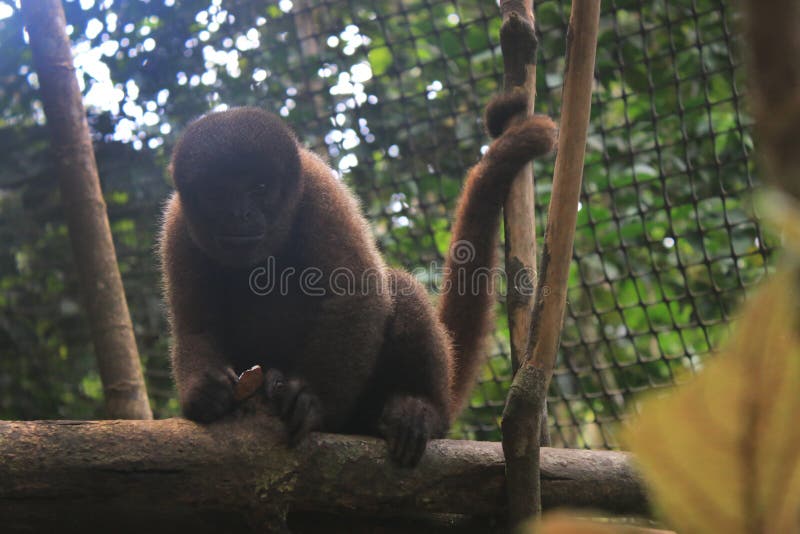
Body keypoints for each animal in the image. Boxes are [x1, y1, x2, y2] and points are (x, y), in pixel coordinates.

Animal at [159, 91, 556, 467]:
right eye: (216, 193)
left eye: (259, 188)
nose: (239, 214)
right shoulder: (177, 224)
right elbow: (195, 323)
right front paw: (204, 392)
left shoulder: (319, 189)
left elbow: (355, 290)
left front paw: (312, 399)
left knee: (402, 289)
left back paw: (421, 410)